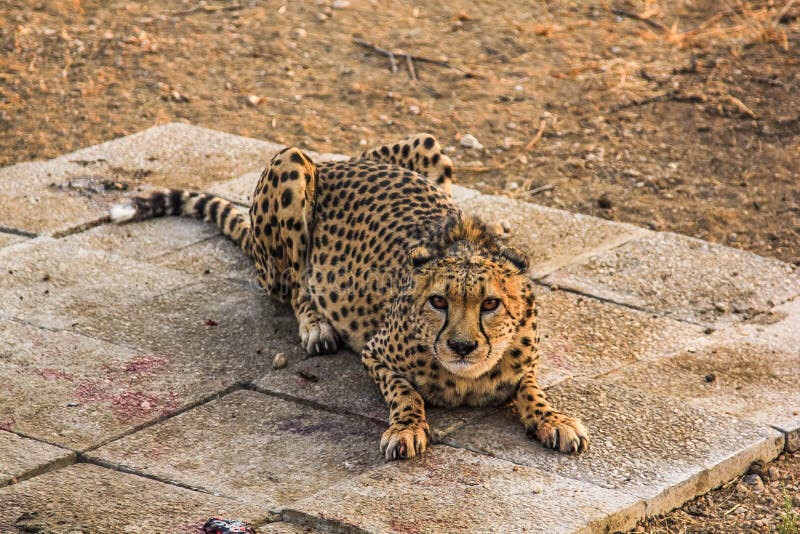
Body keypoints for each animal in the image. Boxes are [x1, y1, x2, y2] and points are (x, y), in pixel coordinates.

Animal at [111, 133, 589, 460]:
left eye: (490, 305)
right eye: (438, 302)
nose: (461, 346)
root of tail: (337, 163)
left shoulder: (524, 361)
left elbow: (531, 387)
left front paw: (553, 418)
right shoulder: (376, 353)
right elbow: (407, 393)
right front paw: (407, 428)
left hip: (429, 144)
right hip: (291, 169)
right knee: (293, 285)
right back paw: (317, 325)